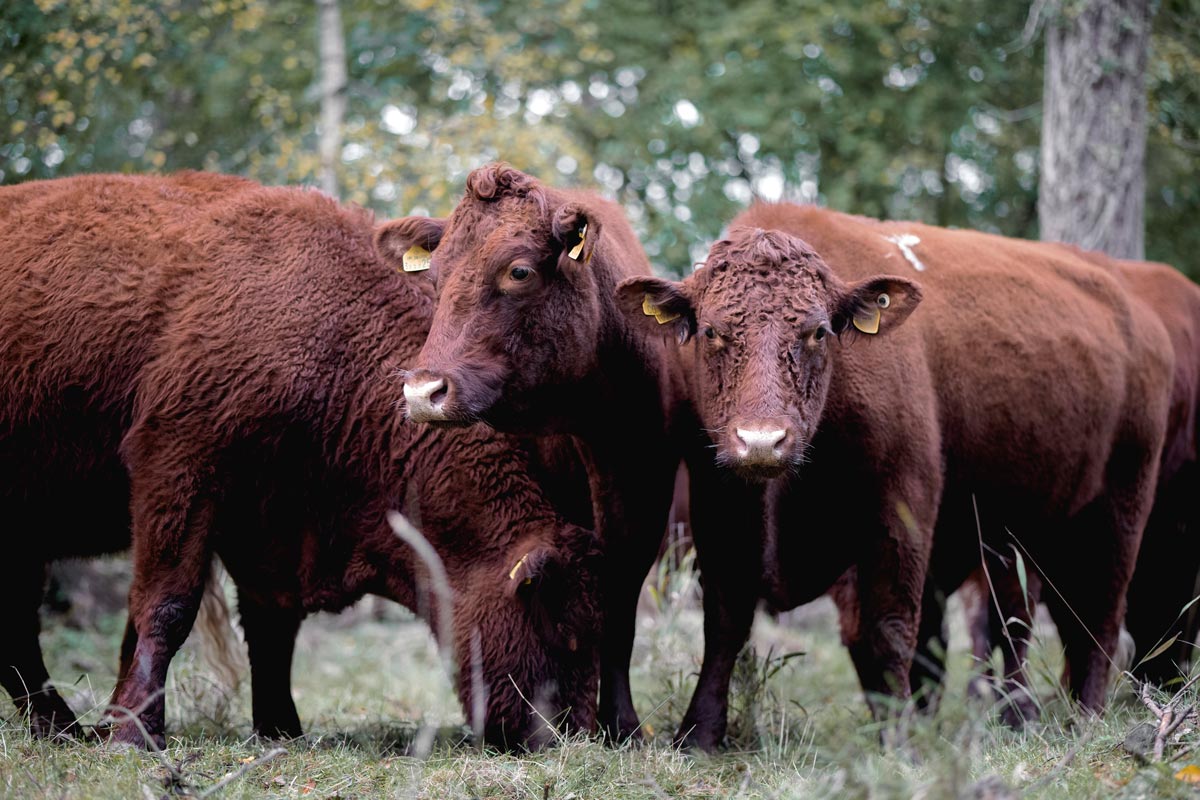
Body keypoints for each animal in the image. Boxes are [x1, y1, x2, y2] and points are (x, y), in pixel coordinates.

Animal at [0, 172, 602, 749]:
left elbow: (272, 628)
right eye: (560, 628)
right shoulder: (177, 466)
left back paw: (60, 727)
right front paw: (132, 735)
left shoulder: (272, 521)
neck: (333, 333)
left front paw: (280, 729)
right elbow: (165, 605)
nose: (576, 734)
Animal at [373, 163, 706, 742]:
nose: (422, 392)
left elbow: (620, 604)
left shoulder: (644, 494)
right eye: (434, 278)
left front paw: (622, 724)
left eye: (519, 271)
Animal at [616, 202, 1174, 750]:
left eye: (818, 332)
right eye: (712, 331)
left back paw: (1084, 717)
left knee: (1098, 617)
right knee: (1014, 621)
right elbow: (727, 621)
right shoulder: (720, 509)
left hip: (1119, 509)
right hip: (1013, 535)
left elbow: (890, 629)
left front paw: (901, 738)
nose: (761, 440)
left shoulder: (901, 516)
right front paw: (699, 732)